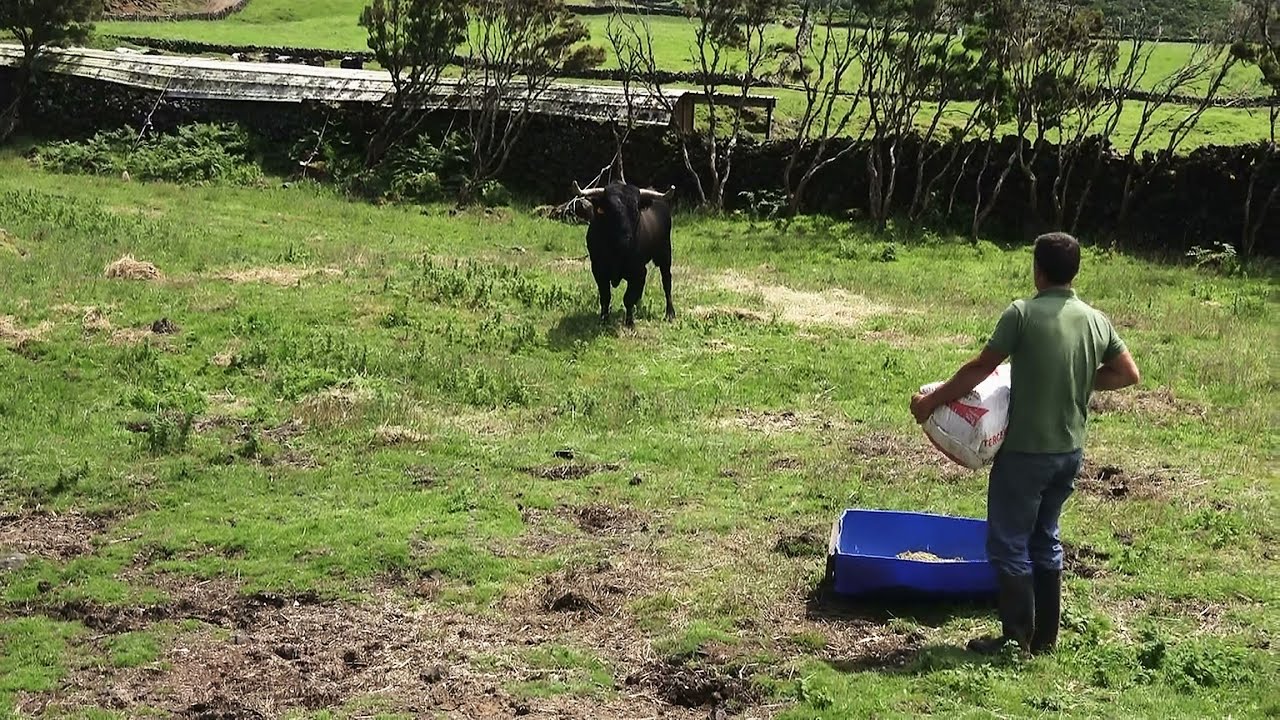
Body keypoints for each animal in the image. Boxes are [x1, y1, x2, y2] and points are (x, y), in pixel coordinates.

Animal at [574, 181, 676, 327]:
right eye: (611, 211)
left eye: (636, 212)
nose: (626, 239)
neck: (617, 250)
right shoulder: (598, 270)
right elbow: (605, 297)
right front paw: (604, 320)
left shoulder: (638, 270)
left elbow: (628, 298)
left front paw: (629, 322)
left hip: (665, 254)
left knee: (666, 281)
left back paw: (670, 313)